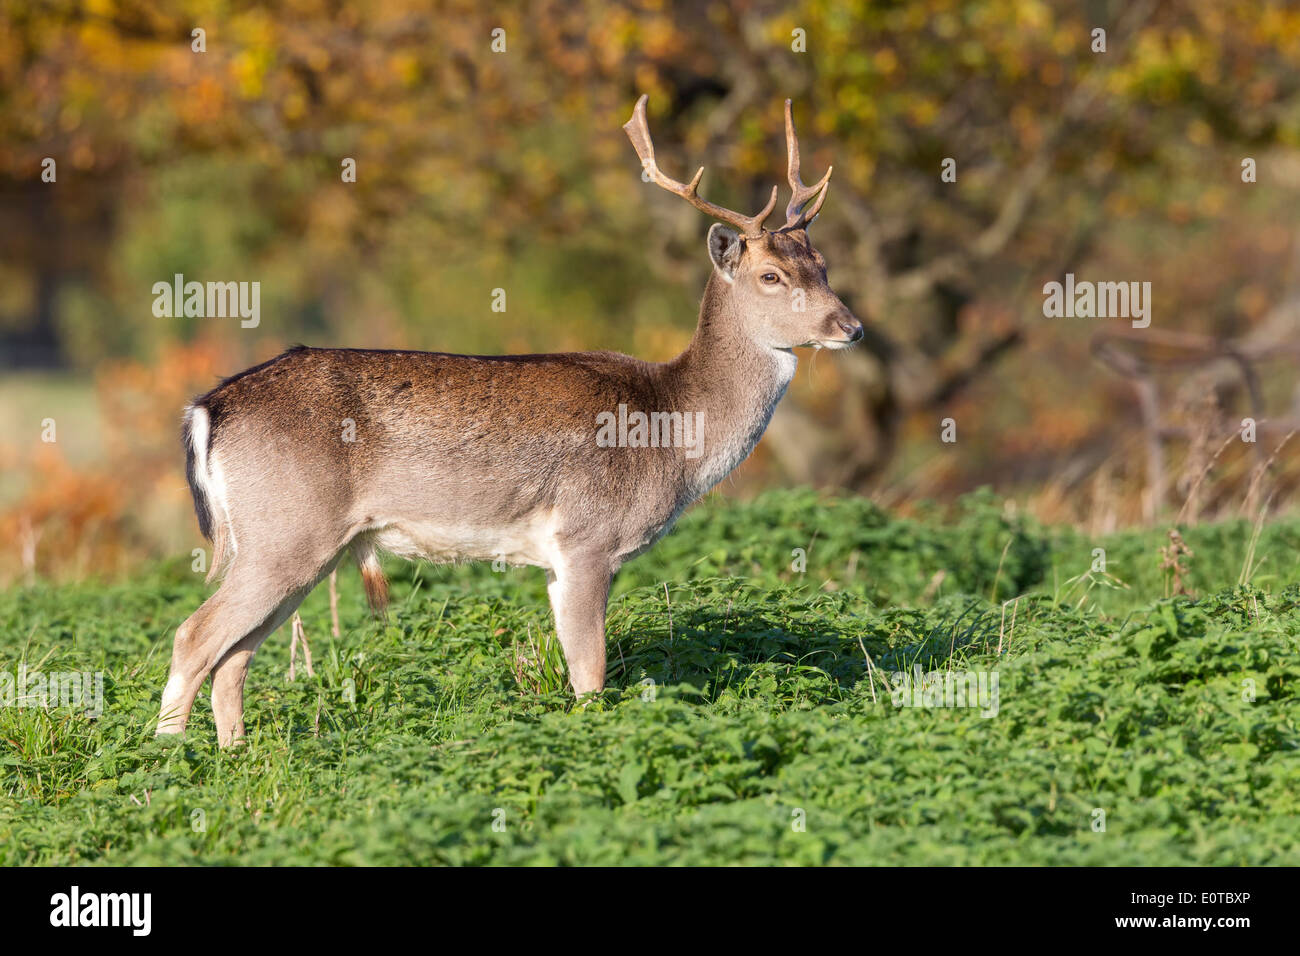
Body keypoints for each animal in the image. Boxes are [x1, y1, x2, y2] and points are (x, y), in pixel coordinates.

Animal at [156, 95, 863, 746]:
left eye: (824, 267)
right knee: (194, 636)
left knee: (233, 658)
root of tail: (208, 408)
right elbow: (590, 675)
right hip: (286, 531)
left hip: (296, 546)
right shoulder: (587, 537)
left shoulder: (557, 559)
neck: (671, 431)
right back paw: (169, 761)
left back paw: (234, 756)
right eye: (770, 275)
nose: (851, 327)